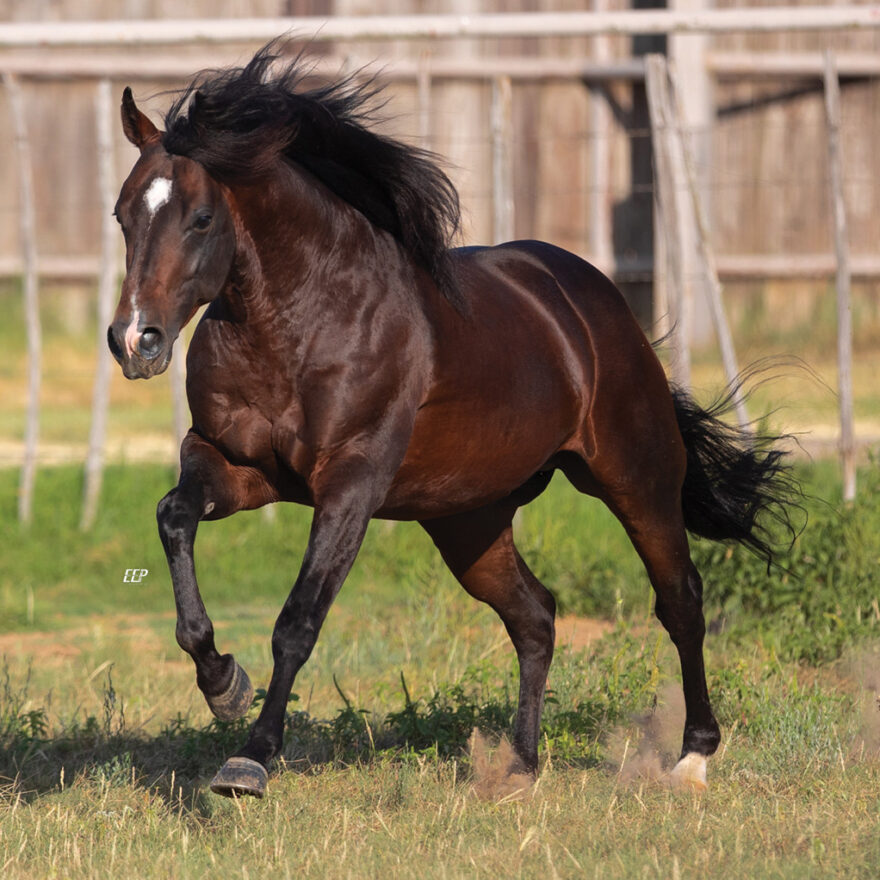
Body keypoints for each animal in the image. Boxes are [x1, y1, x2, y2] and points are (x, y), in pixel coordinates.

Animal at [107, 46, 794, 799]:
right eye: (121, 215)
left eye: (201, 218)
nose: (134, 340)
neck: (303, 320)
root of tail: (599, 306)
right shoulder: (237, 464)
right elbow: (174, 518)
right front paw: (223, 682)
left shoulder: (350, 484)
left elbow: (299, 618)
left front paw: (250, 760)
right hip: (469, 521)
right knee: (536, 616)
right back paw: (521, 765)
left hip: (634, 479)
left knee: (680, 600)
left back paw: (693, 757)